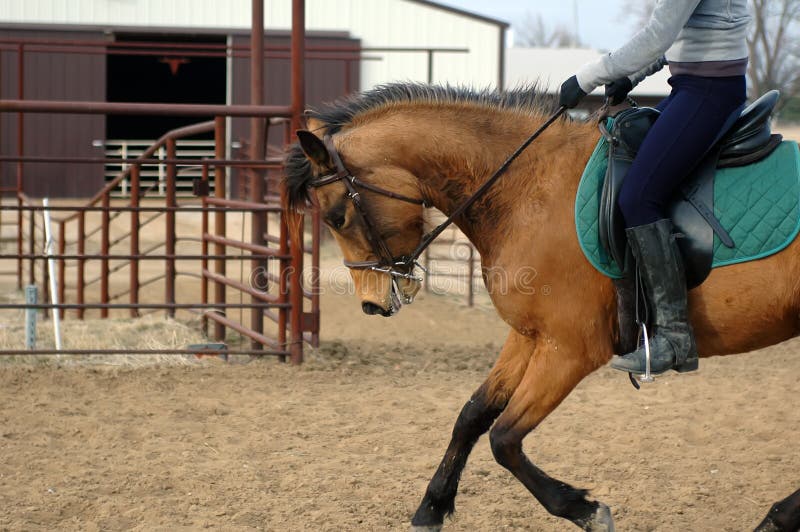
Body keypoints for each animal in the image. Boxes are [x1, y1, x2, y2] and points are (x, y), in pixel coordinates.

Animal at [283, 82, 800, 531]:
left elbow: (504, 438)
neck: (528, 187)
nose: (372, 304)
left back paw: (776, 518)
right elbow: (473, 415)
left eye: (337, 217)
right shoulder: (529, 336)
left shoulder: (570, 350)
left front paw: (585, 509)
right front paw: (430, 508)